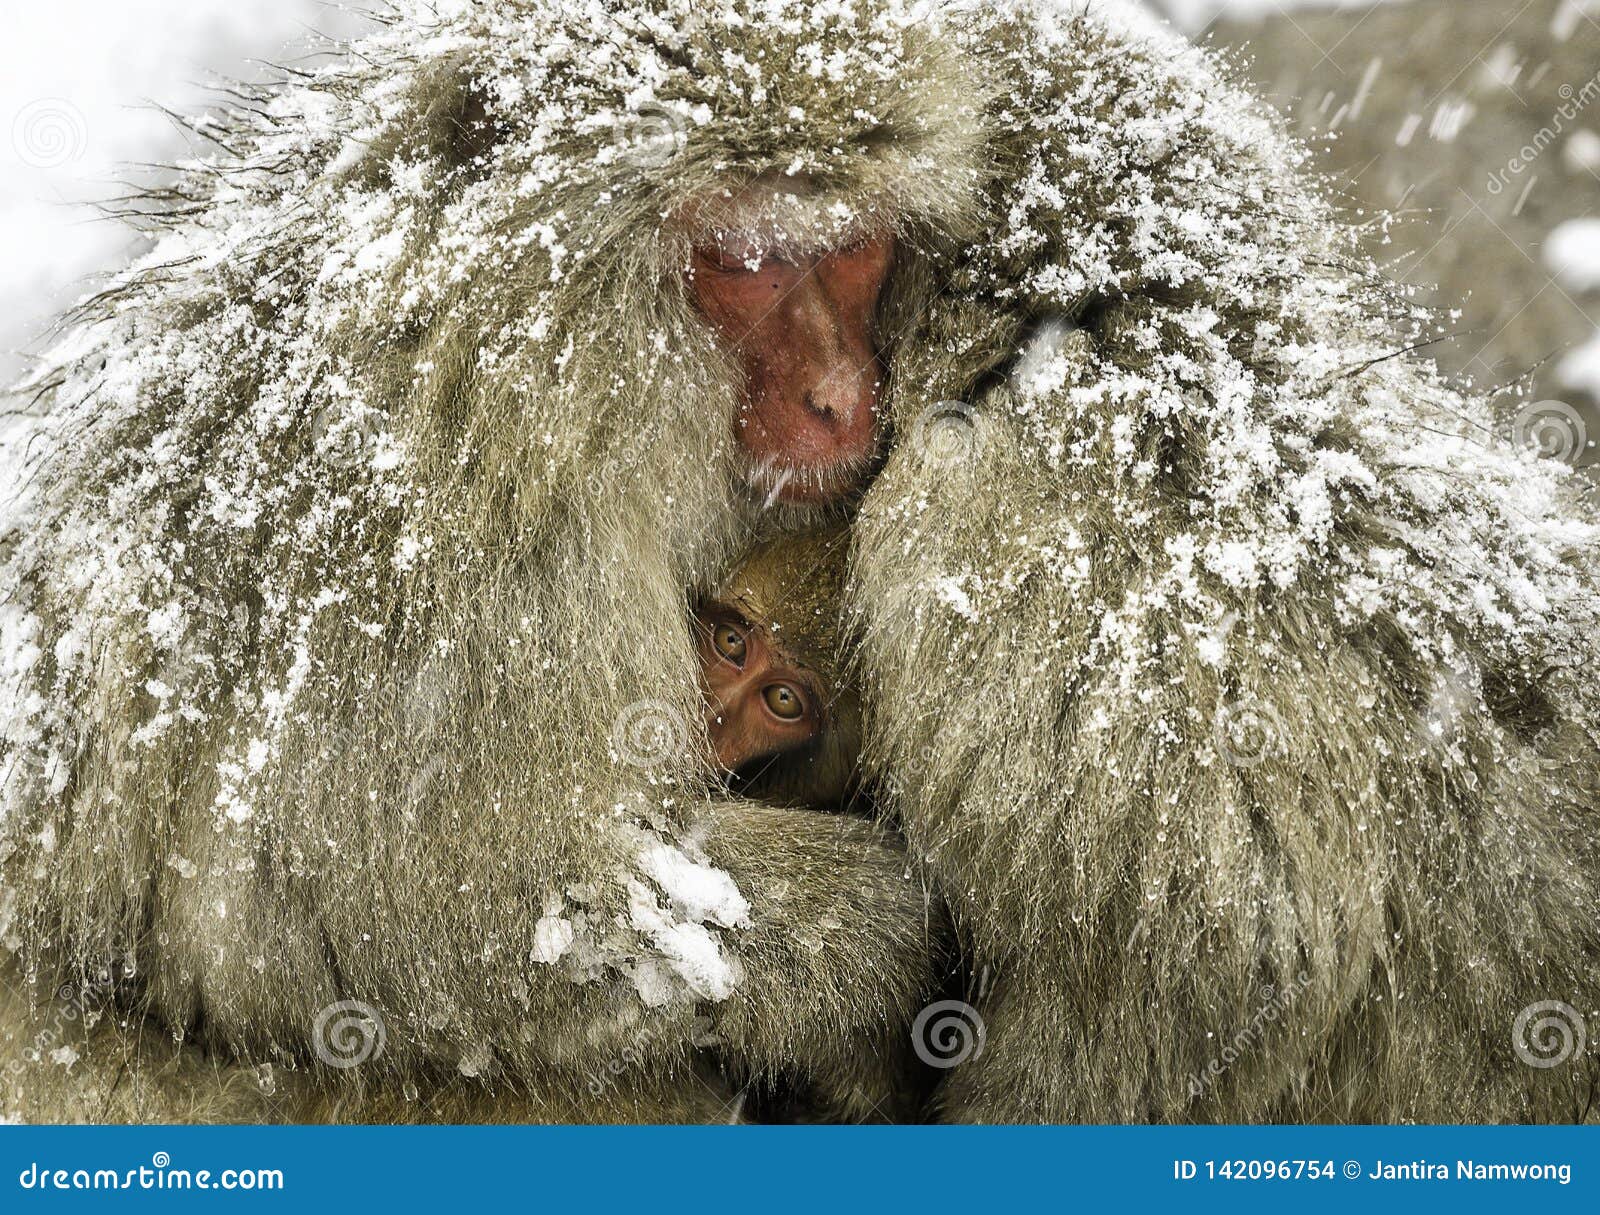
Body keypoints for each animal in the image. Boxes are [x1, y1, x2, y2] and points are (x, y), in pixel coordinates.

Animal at [2, 0, 1597, 1127]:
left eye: (850, 252)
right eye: (755, 263)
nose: (842, 398)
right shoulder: (459, 520)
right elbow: (452, 908)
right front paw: (866, 953)